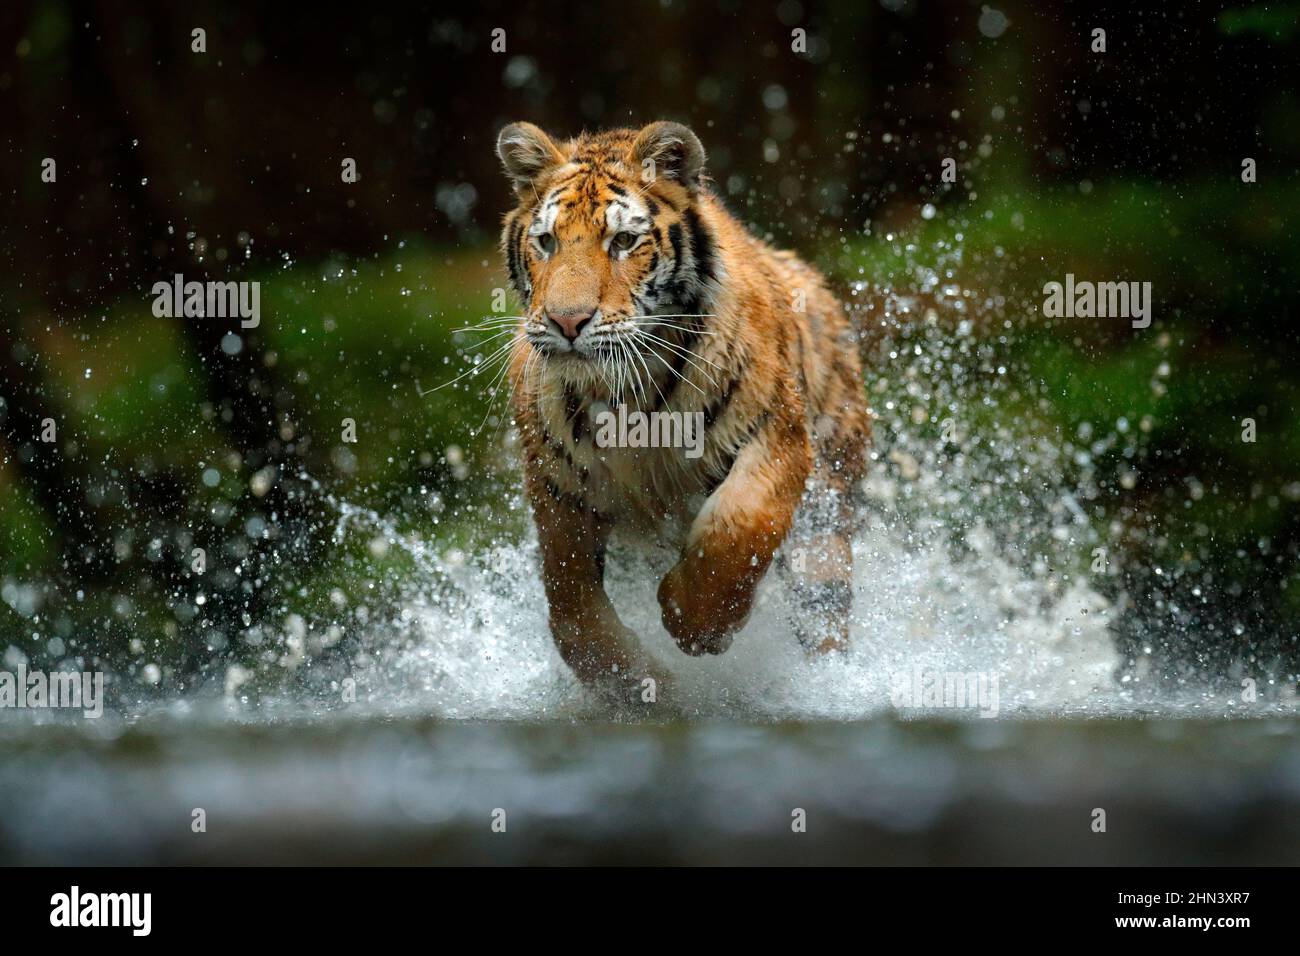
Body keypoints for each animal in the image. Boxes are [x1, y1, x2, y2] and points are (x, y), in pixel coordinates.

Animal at [495, 120, 870, 699]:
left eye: (623, 241)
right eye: (547, 241)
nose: (566, 321)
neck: (625, 396)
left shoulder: (777, 434)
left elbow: (740, 526)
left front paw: (695, 623)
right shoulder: (557, 481)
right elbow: (570, 605)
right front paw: (637, 685)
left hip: (829, 515)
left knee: (823, 605)